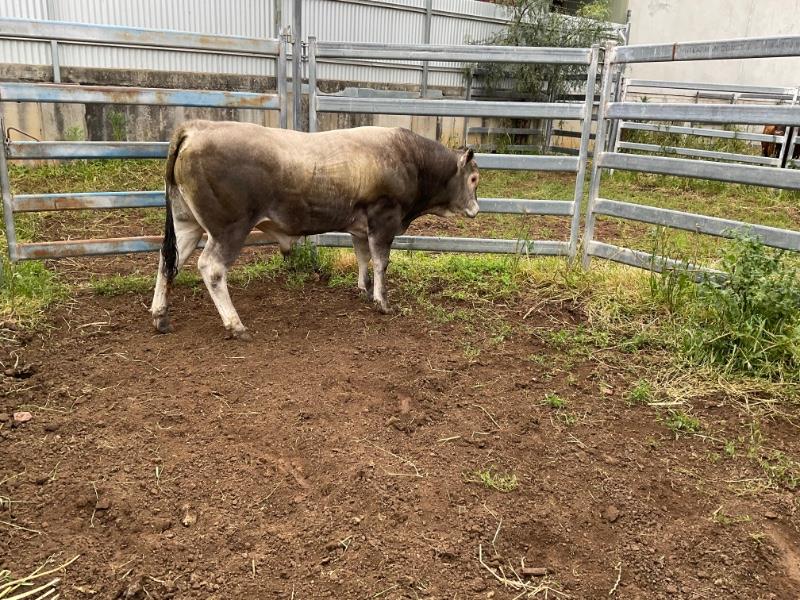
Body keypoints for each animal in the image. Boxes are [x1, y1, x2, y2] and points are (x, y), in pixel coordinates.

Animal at [150, 120, 480, 340]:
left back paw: (160, 316)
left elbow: (362, 258)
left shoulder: (360, 228)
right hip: (230, 227)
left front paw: (363, 290)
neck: (409, 158)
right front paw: (382, 302)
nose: (476, 209)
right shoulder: (384, 218)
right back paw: (235, 325)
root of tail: (197, 128)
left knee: (168, 262)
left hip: (186, 224)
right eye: (474, 178)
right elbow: (380, 262)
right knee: (212, 268)